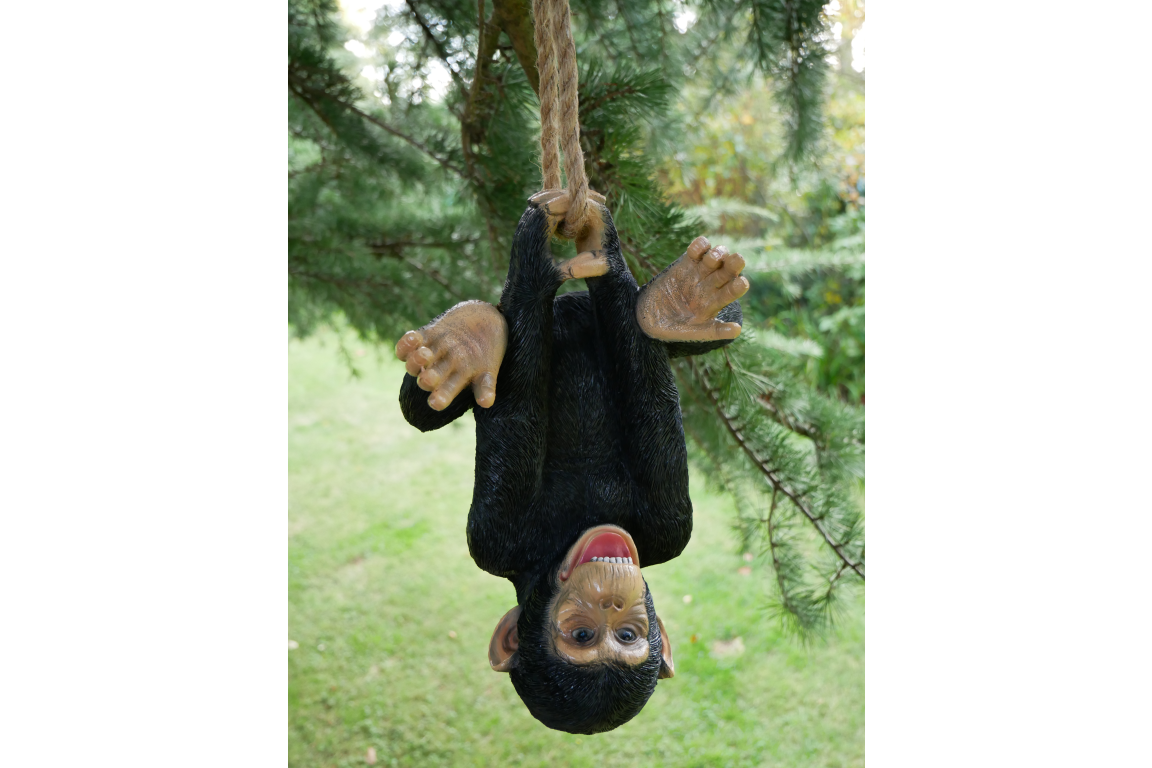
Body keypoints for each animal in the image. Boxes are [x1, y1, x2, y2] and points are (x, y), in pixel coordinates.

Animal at [393, 191, 749, 734]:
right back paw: (465, 345)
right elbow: (516, 409)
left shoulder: (664, 532)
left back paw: (676, 307)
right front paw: (540, 258)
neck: (581, 526)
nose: (612, 598)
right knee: (425, 406)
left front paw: (588, 250)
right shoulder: (497, 538)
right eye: (584, 636)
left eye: (627, 635)